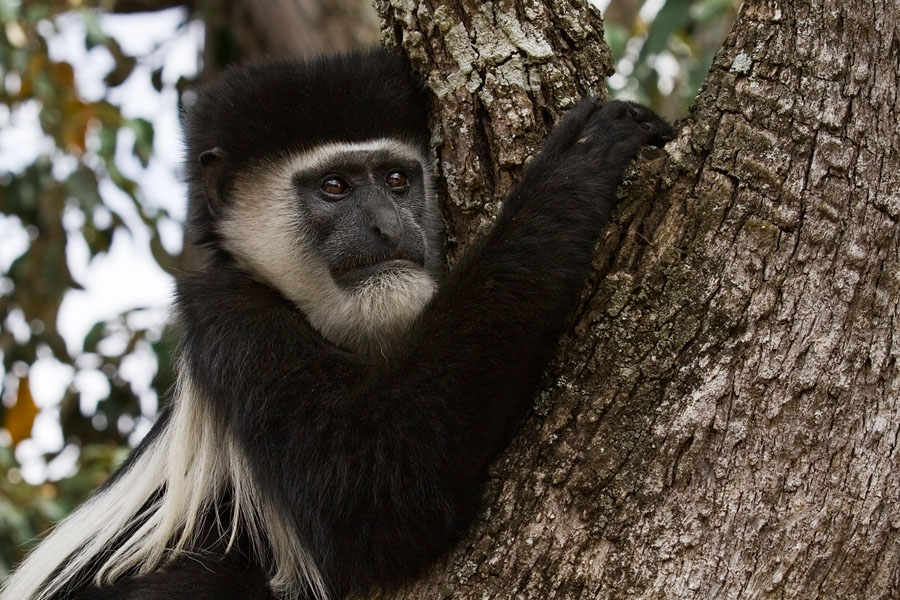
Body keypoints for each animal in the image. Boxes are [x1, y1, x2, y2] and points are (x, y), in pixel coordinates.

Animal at [2, 48, 673, 600]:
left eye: (397, 180)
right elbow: (374, 489)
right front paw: (576, 164)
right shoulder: (226, 316)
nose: (388, 227)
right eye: (334, 187)